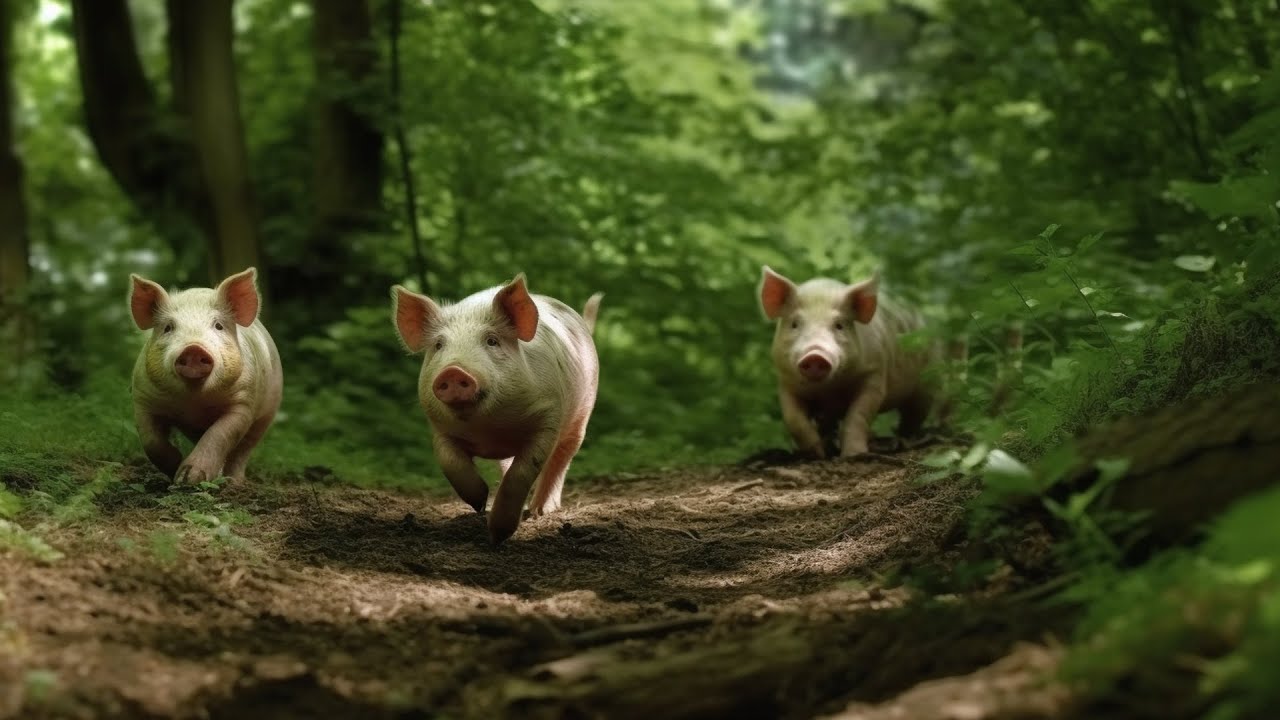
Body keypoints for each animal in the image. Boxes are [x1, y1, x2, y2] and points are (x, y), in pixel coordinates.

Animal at [129, 268, 283, 485]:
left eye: (218, 326)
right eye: (168, 328)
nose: (193, 349)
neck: (194, 404)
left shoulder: (243, 402)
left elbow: (218, 435)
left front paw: (189, 479)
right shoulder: (143, 398)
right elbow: (151, 441)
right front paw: (176, 468)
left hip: (267, 414)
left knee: (243, 450)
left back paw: (233, 482)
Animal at [391, 274, 603, 544]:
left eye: (492, 341)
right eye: (439, 345)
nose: (454, 370)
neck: (489, 430)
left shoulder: (548, 417)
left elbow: (521, 473)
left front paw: (499, 535)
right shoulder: (440, 427)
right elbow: (450, 462)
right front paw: (480, 503)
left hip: (582, 411)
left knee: (563, 456)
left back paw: (541, 510)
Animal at [758, 266, 939, 458]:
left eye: (839, 325)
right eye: (794, 324)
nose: (815, 355)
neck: (828, 390)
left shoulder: (874, 372)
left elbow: (858, 415)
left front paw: (854, 455)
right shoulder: (786, 381)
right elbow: (793, 419)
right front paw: (817, 455)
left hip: (927, 382)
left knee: (915, 414)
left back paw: (905, 439)